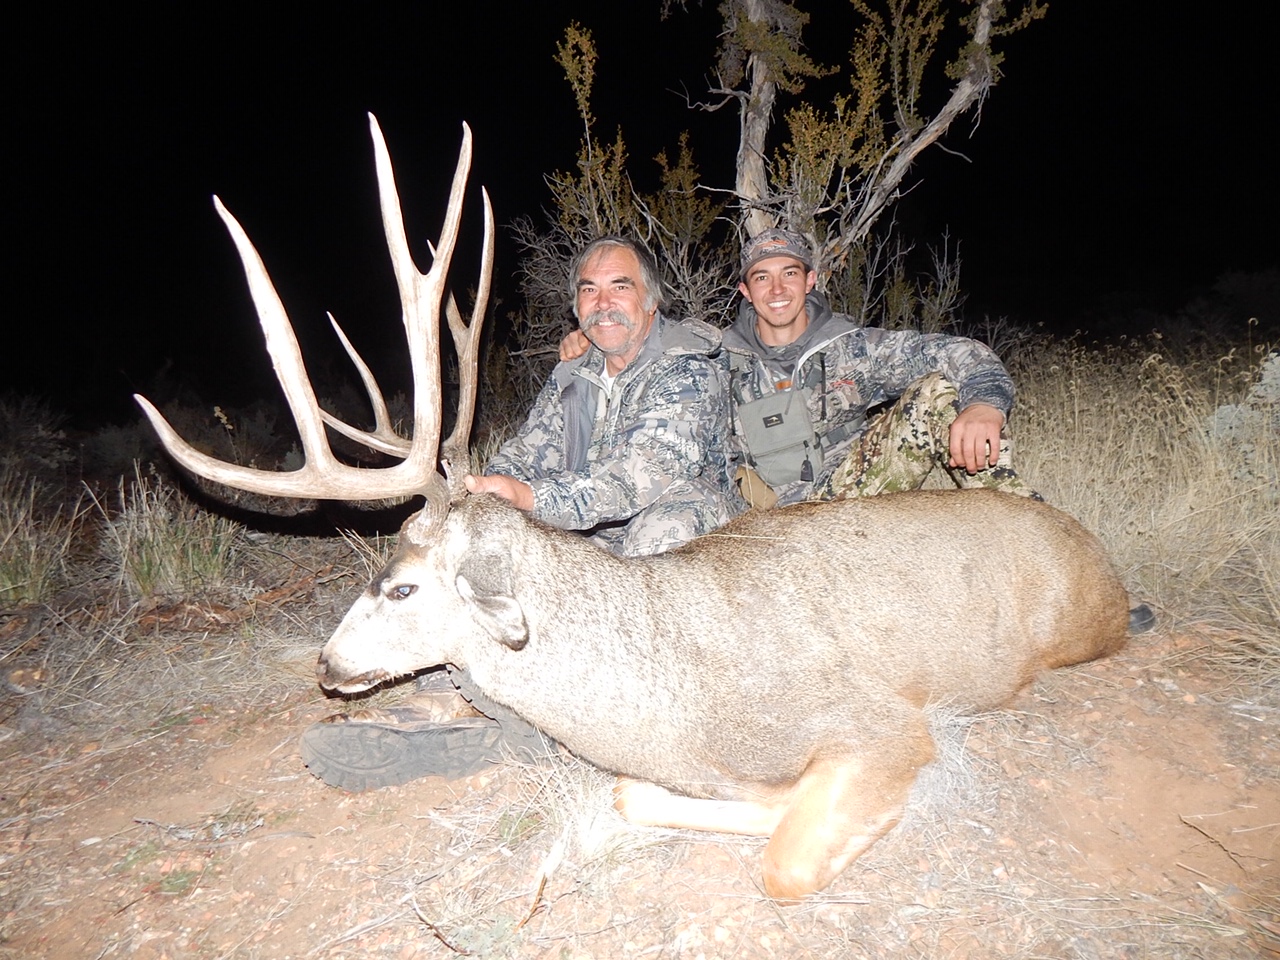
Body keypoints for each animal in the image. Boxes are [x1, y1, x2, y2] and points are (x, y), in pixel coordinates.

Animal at [136, 115, 1148, 901]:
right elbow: (631, 792)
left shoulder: (880, 724)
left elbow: (787, 859)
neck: (672, 689)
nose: (328, 663)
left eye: (402, 588)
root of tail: (1096, 550)